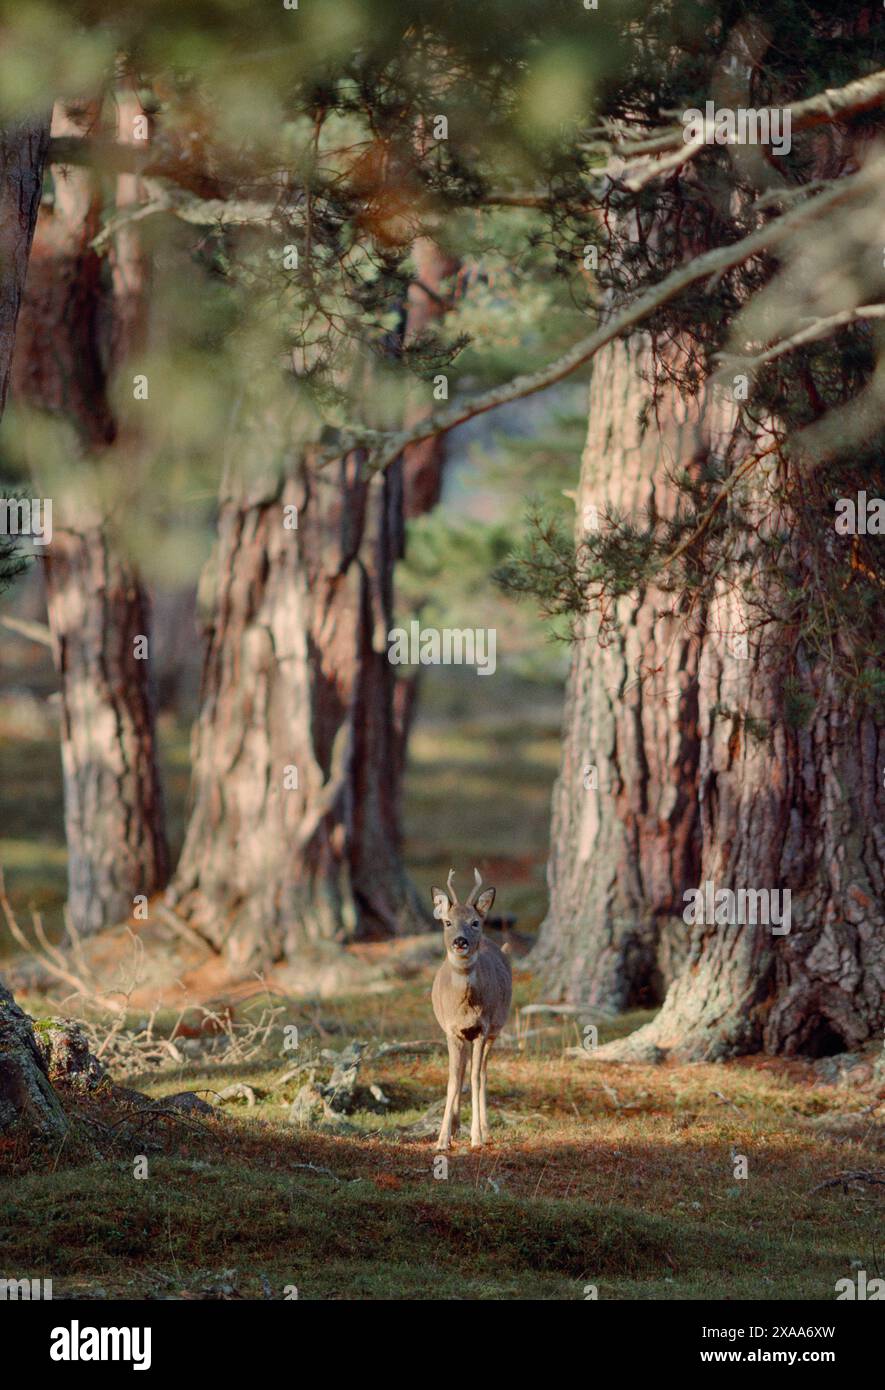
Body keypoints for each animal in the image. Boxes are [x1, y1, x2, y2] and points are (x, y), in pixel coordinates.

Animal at [431, 868, 512, 1151]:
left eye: (475, 922)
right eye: (447, 922)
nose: (460, 941)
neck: (464, 1007)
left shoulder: (482, 1028)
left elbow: (476, 1078)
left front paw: (476, 1137)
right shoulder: (451, 1030)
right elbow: (453, 1079)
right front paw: (442, 1139)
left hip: (495, 1030)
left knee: (483, 1073)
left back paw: (485, 1130)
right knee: (464, 1070)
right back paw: (456, 1127)